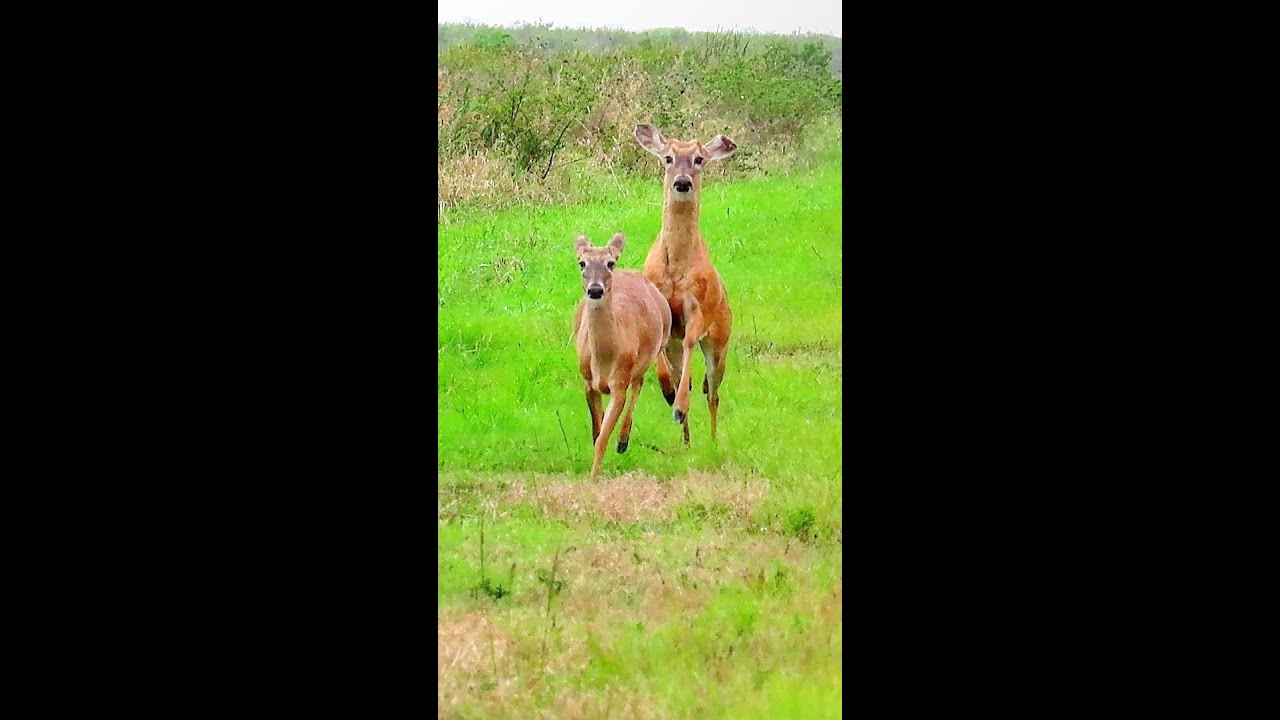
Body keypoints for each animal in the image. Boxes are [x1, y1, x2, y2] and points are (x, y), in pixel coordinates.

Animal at [572, 233, 675, 478]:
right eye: (582, 263)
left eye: (610, 263)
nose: (595, 290)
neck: (604, 359)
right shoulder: (588, 381)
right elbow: (596, 432)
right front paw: (595, 472)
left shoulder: (619, 382)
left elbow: (602, 438)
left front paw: (594, 477)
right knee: (639, 381)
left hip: (662, 332)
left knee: (642, 379)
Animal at [633, 124, 737, 445]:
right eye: (668, 157)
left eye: (699, 159)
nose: (682, 182)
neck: (676, 267)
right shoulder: (661, 308)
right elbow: (663, 357)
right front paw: (668, 393)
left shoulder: (697, 306)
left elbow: (691, 341)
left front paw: (677, 404)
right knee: (688, 379)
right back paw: (686, 438)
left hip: (721, 340)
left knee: (712, 392)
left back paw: (711, 438)